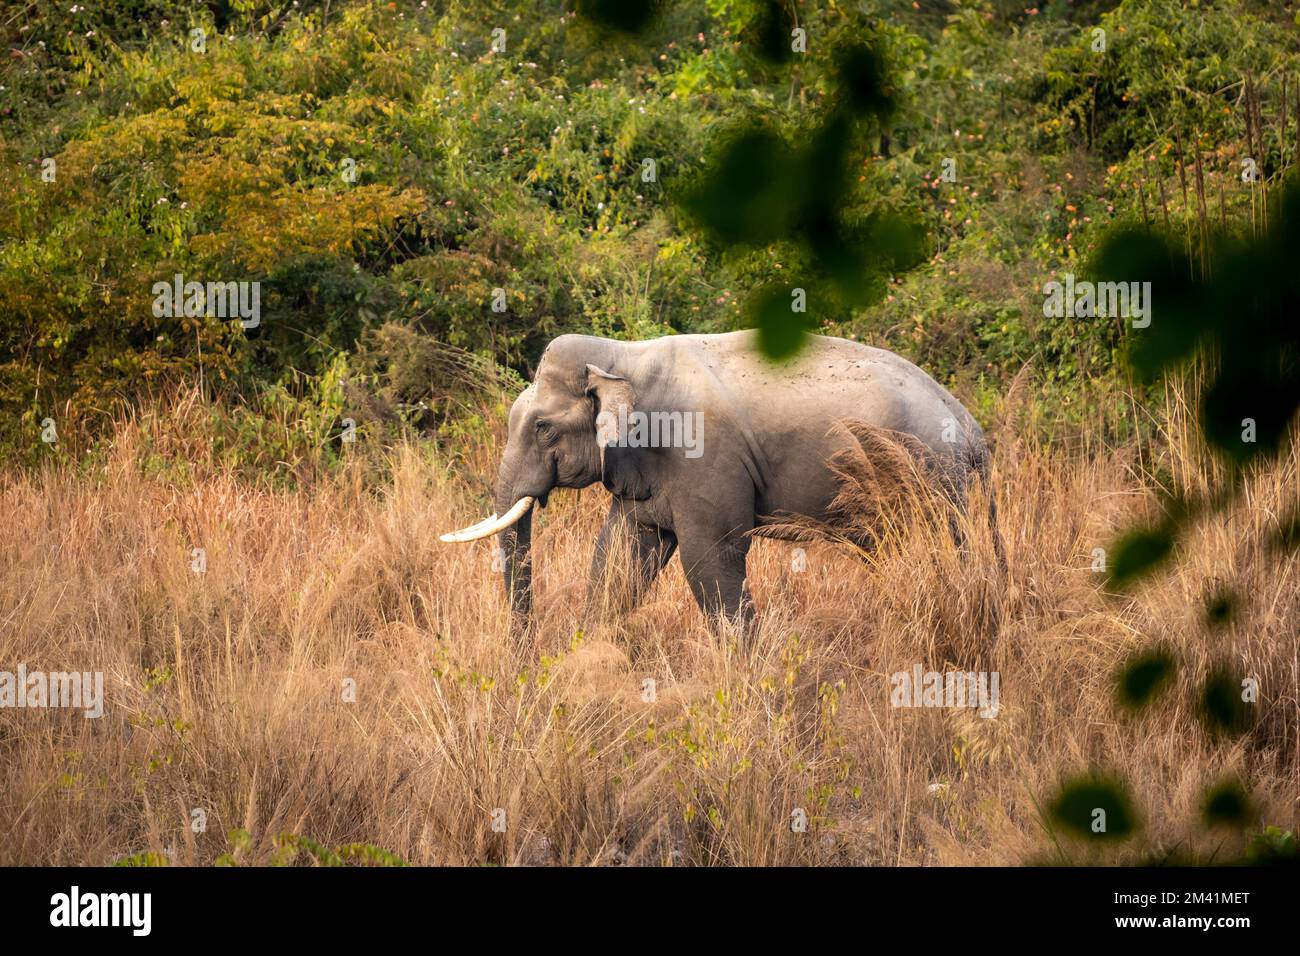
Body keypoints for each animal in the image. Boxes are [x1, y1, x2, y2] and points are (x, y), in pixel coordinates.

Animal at [441, 330, 993, 628]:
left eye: (542, 427)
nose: (529, 658)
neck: (624, 357)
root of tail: (969, 425)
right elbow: (621, 554)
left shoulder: (703, 456)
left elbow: (710, 556)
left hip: (932, 479)